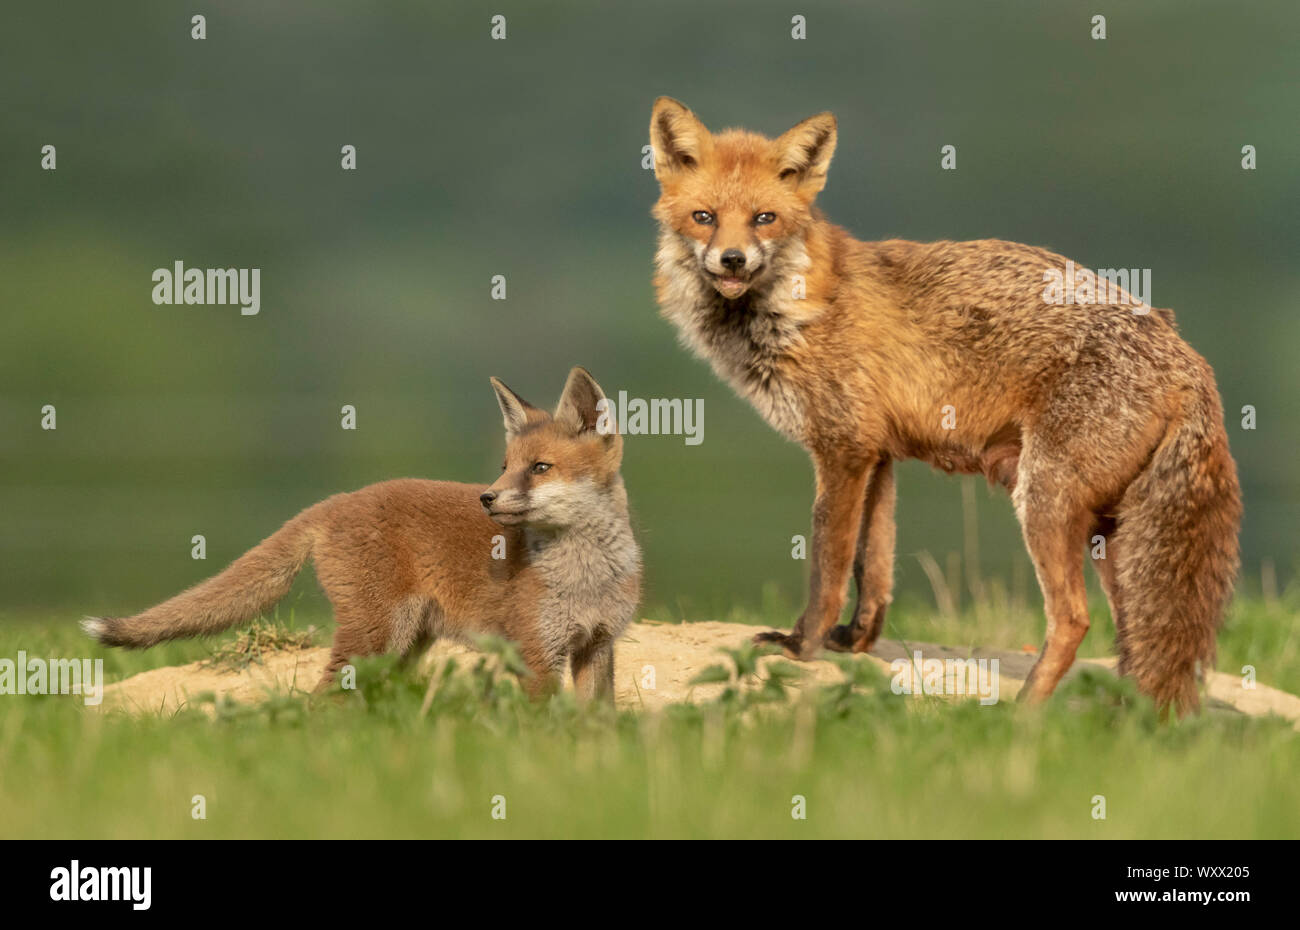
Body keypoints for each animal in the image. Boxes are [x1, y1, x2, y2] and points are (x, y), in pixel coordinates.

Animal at [82, 367, 642, 702]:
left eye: (540, 468)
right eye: (505, 467)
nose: (486, 498)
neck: (587, 575)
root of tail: (337, 499)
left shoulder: (597, 646)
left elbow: (597, 723)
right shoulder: (537, 653)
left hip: (401, 645)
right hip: (375, 637)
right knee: (320, 702)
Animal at [649, 97, 1241, 716]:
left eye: (764, 219)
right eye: (704, 217)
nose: (732, 260)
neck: (799, 306)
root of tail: (1191, 360)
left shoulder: (843, 449)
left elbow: (828, 563)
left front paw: (802, 645)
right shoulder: (878, 454)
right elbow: (874, 565)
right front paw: (853, 642)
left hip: (1046, 500)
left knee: (1074, 621)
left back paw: (1021, 713)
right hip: (1111, 531)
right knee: (1135, 636)